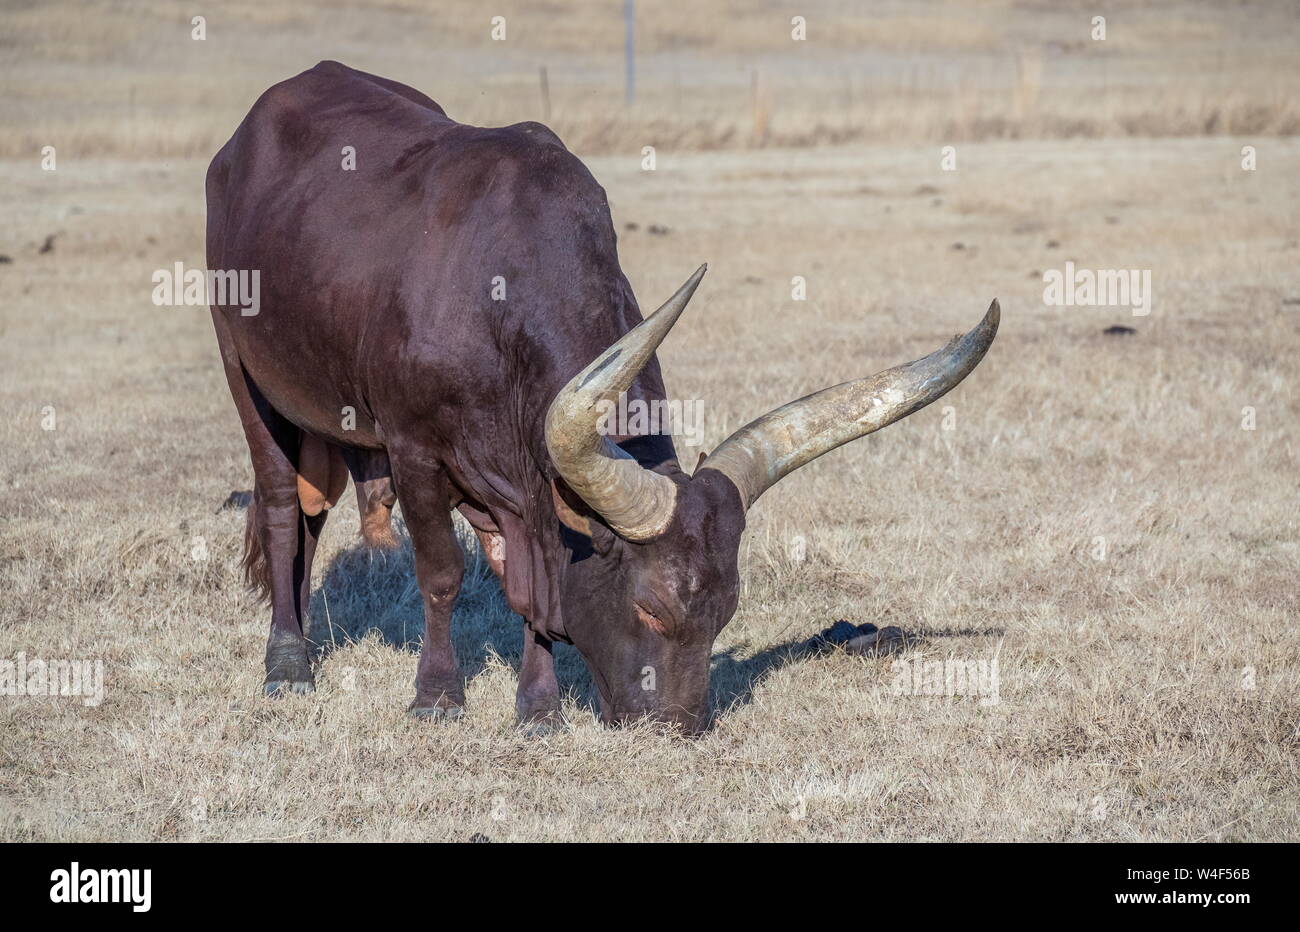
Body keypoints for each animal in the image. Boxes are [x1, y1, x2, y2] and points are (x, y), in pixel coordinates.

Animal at [206, 61, 998, 735]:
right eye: (650, 608)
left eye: (726, 611)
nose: (677, 726)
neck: (500, 291)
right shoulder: (414, 449)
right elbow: (442, 574)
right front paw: (437, 697)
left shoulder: (526, 490)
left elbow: (531, 590)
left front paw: (539, 709)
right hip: (244, 369)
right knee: (281, 508)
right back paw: (288, 663)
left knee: (312, 514)